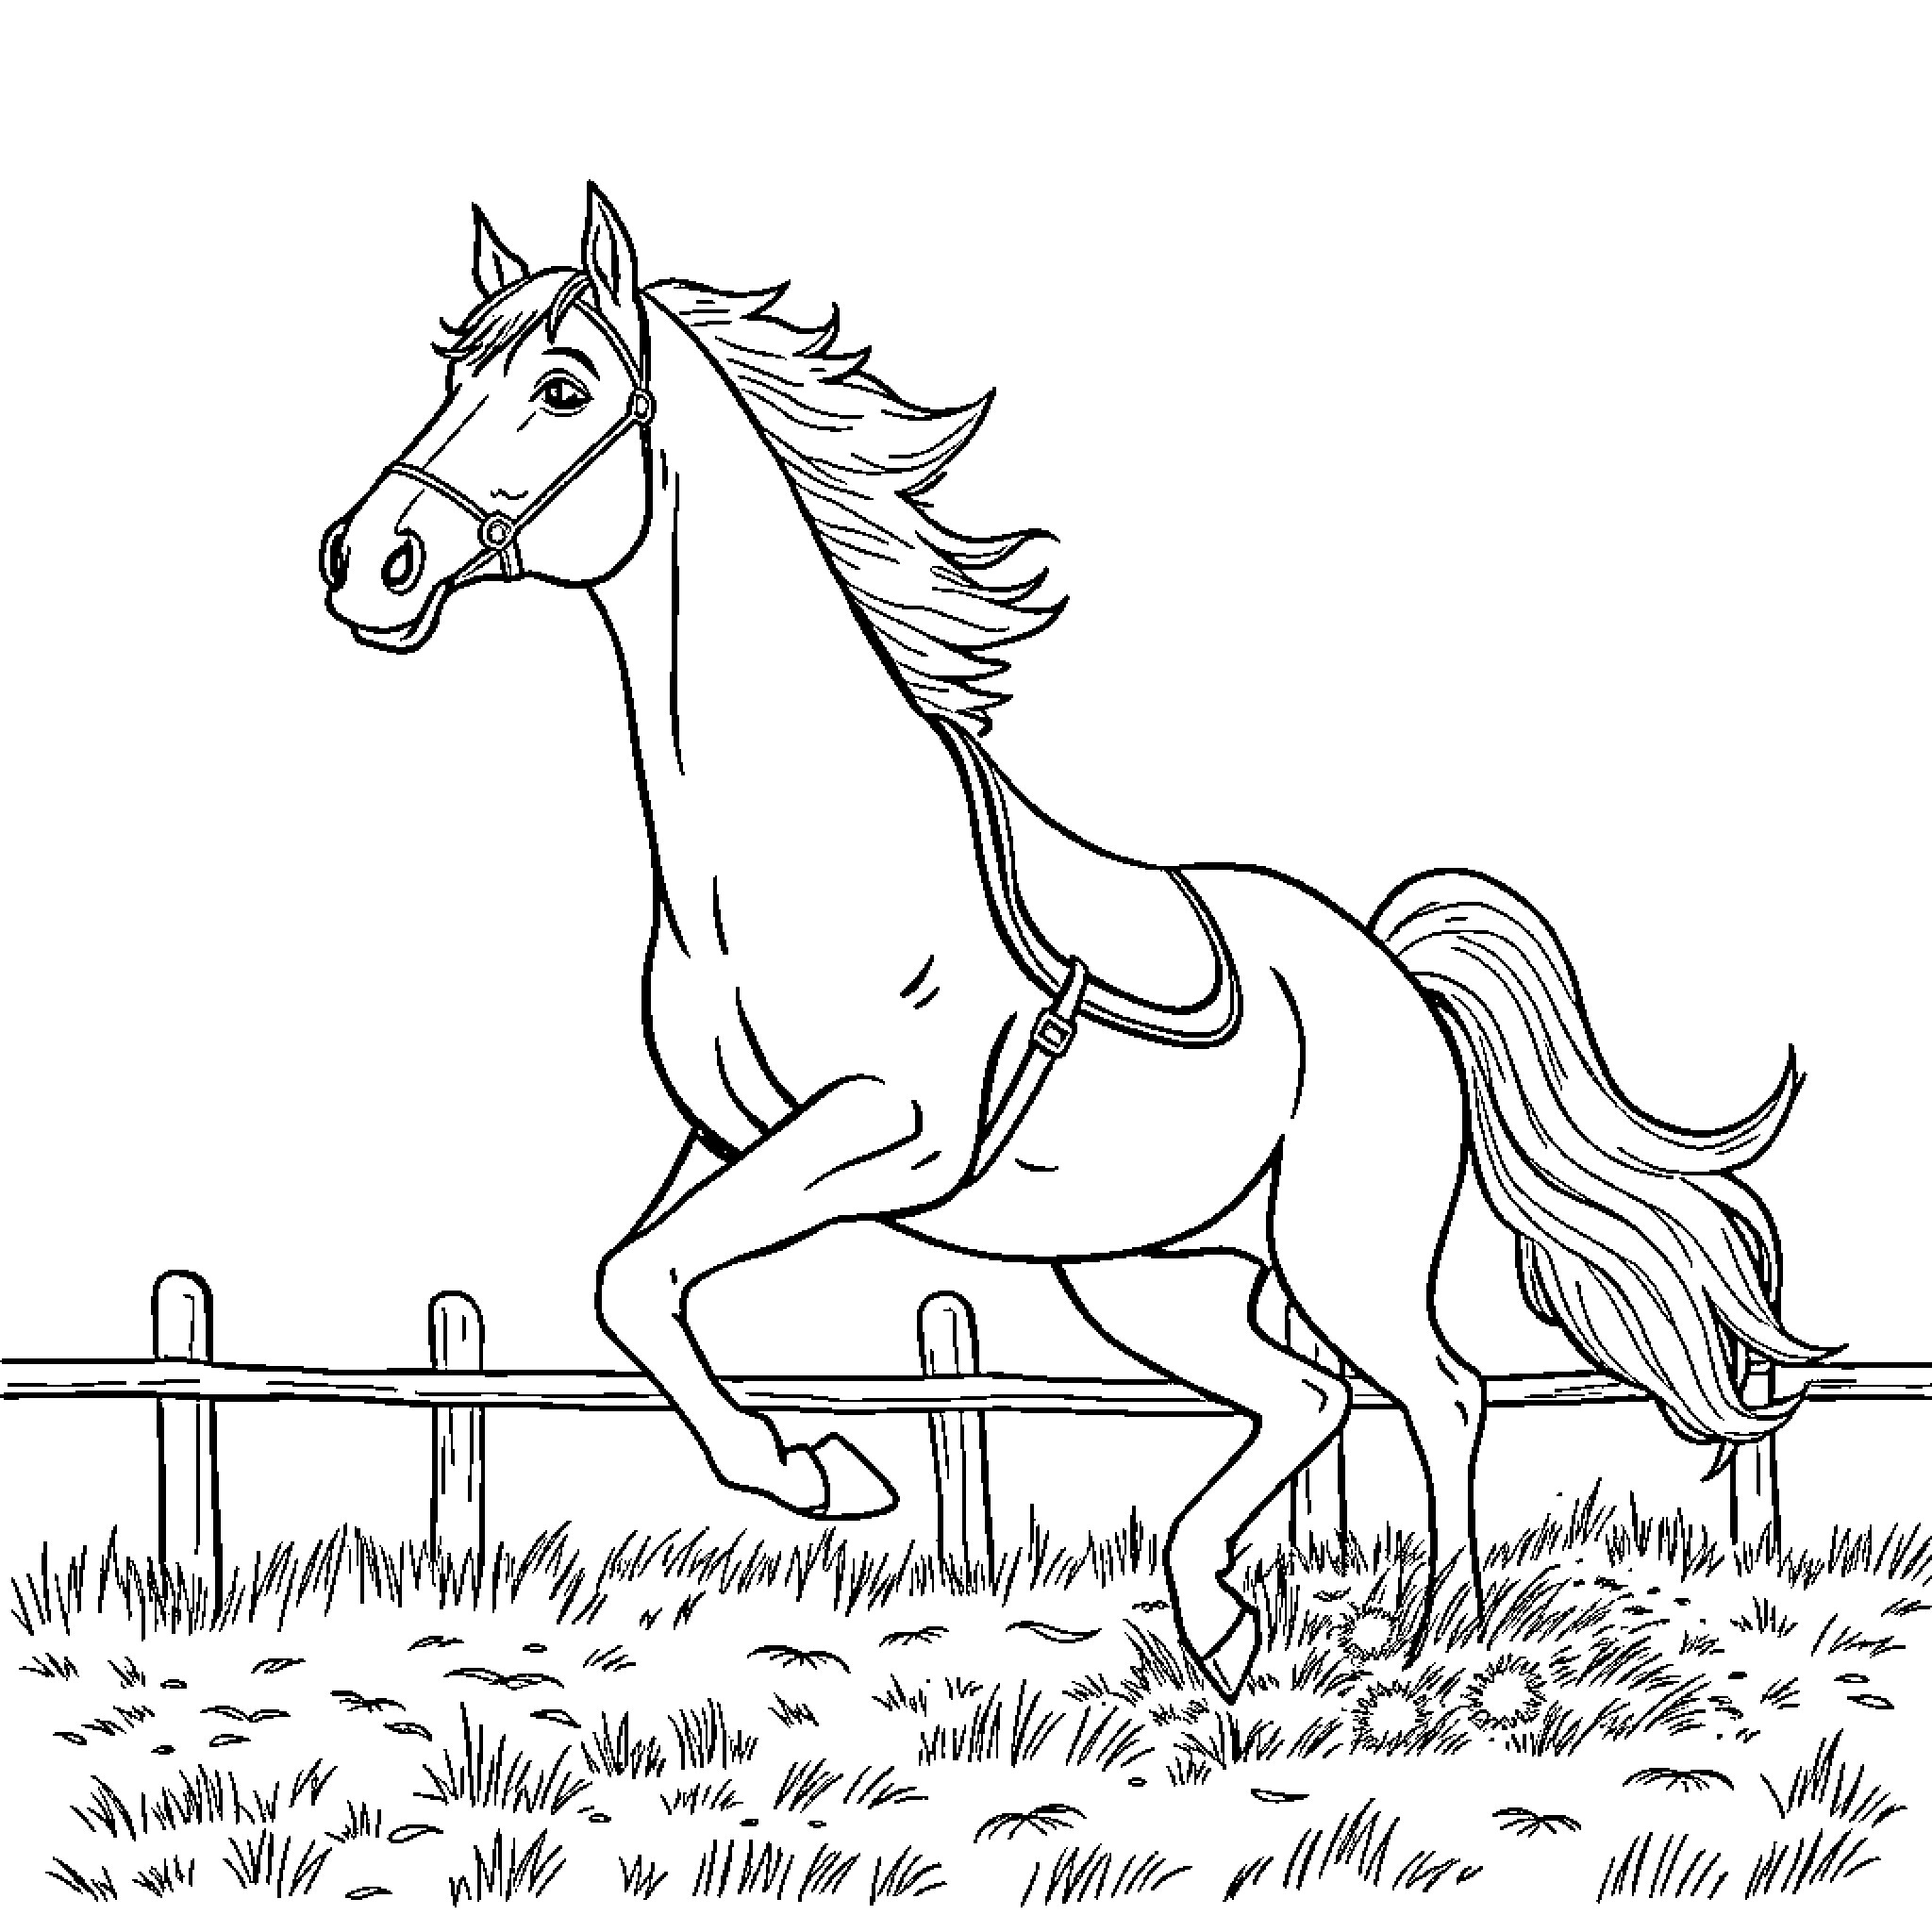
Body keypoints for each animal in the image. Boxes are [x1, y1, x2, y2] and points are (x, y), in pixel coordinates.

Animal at [317, 184, 1829, 1699]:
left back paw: (1433, 1641)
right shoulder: (725, 1141)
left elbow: (645, 1276)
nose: (366, 564)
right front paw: (823, 1471)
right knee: (1305, 1396)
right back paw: (1215, 1616)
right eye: (452, 377)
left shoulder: (891, 1131)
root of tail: (1388, 972)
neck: (803, 838)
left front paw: (818, 1469)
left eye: (564, 390)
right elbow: (633, 1284)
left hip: (1339, 1253)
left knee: (1433, 1392)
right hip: (1150, 1277)